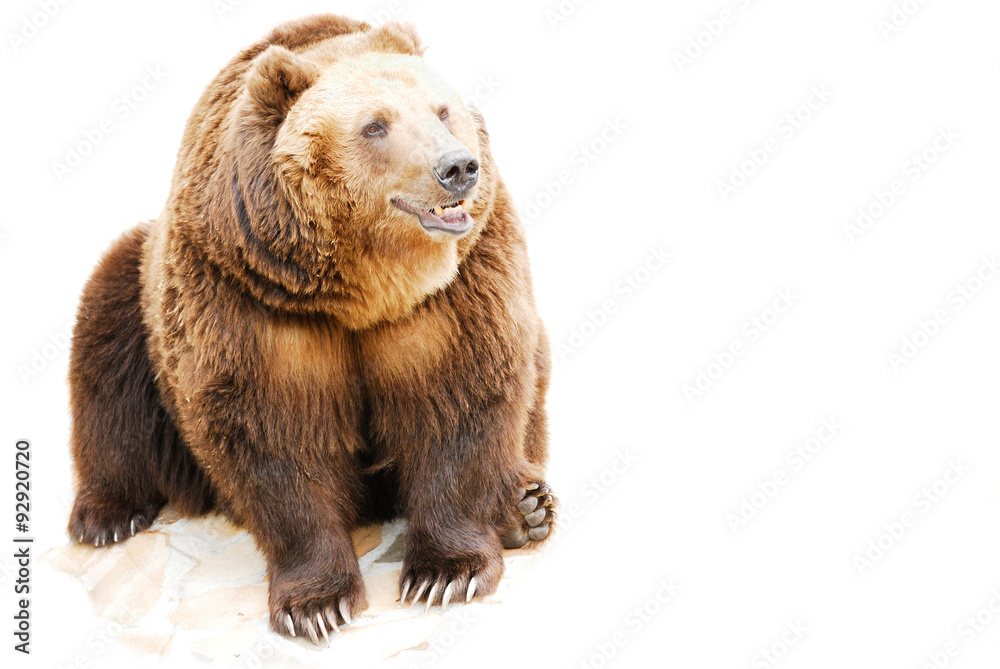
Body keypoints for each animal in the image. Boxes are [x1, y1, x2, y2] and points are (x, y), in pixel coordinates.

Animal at [66, 14, 555, 644]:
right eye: (375, 125)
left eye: (441, 109)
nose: (457, 168)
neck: (366, 288)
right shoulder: (255, 301)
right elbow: (273, 434)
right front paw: (317, 603)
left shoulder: (452, 292)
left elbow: (459, 399)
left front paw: (447, 572)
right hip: (139, 294)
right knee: (108, 350)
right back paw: (106, 513)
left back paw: (523, 507)